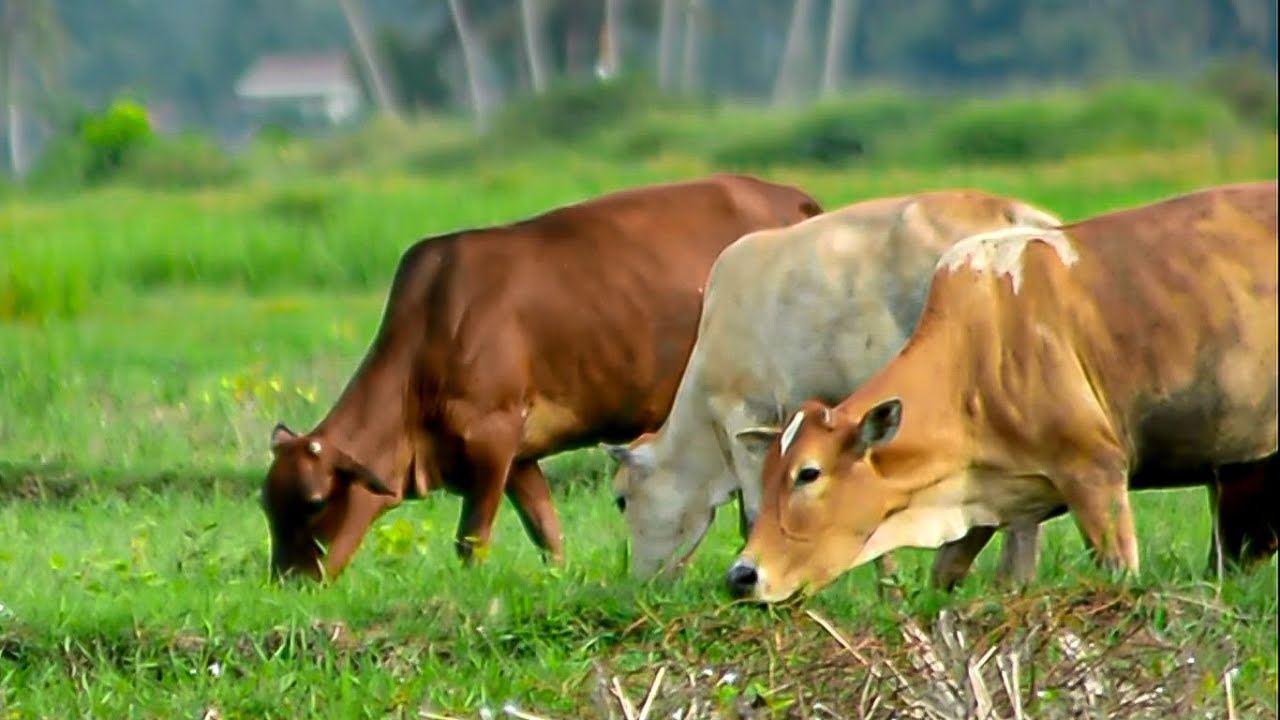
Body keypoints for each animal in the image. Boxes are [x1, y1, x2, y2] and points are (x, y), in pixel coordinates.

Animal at [261, 173, 823, 582]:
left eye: (314, 502)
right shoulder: (519, 457)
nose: (291, 583)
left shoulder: (492, 437)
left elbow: (471, 539)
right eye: (267, 503)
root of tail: (791, 198)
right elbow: (547, 534)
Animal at [725, 181, 1278, 603]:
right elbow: (947, 575)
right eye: (765, 472)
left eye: (808, 473)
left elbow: (1119, 569)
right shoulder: (992, 503)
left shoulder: (1095, 472)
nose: (741, 575)